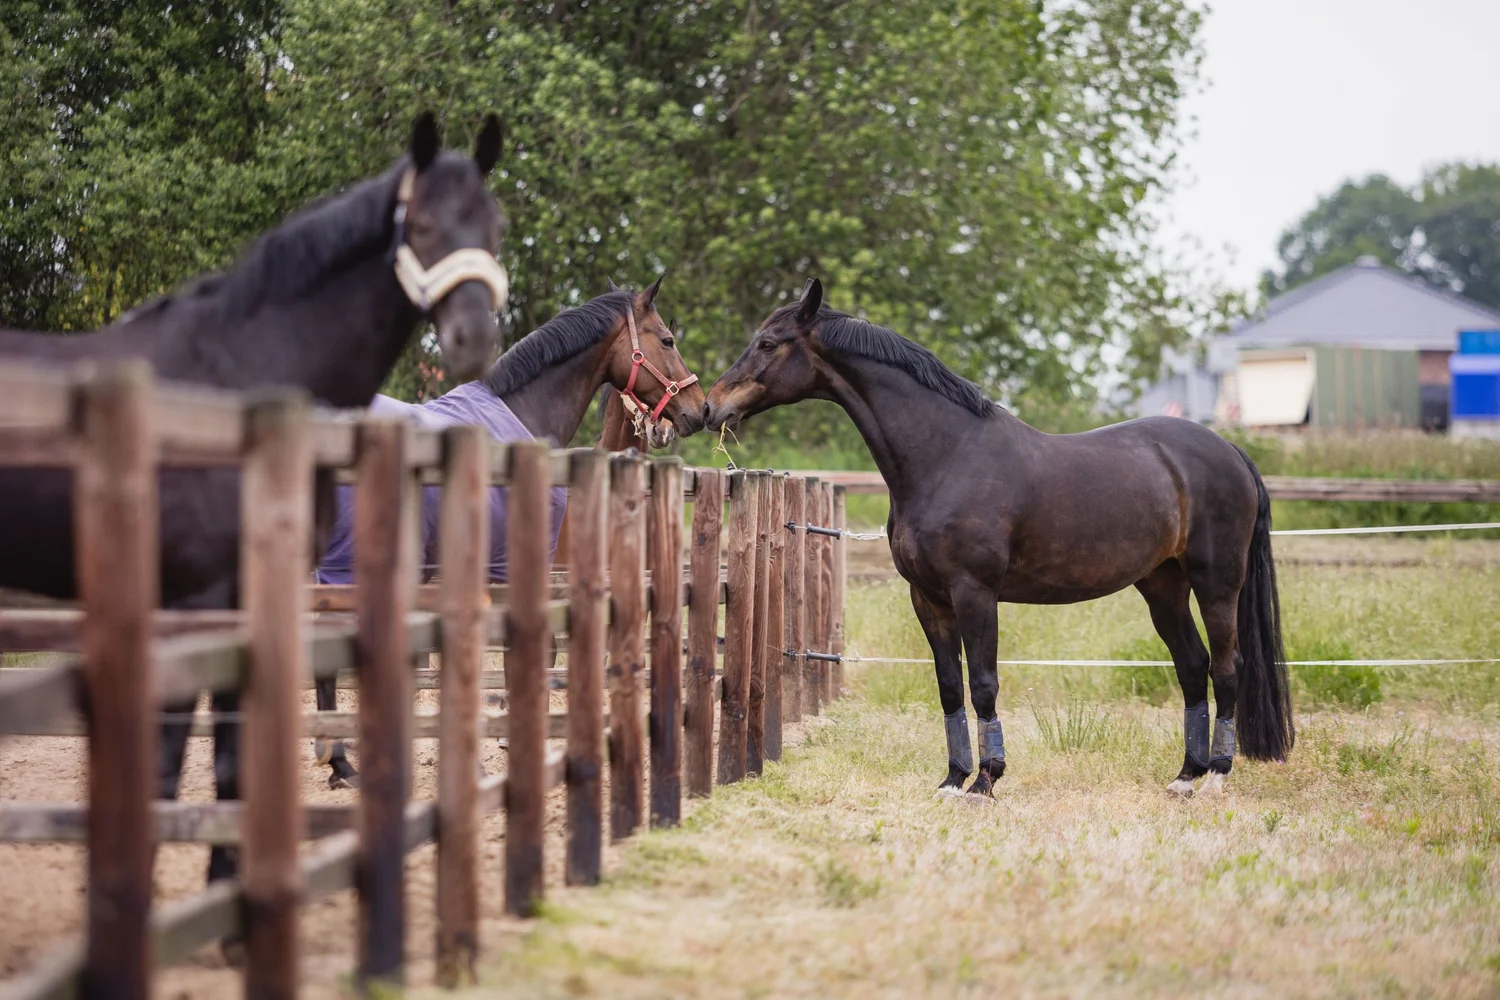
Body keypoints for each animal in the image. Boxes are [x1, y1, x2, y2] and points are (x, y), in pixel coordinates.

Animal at [0, 112, 511, 887]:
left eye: (495, 224)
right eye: (420, 224)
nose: (473, 336)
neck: (241, 375)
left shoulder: (250, 599)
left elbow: (234, 767)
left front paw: (228, 892)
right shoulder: (192, 606)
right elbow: (165, 768)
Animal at [704, 278, 1294, 799]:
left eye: (768, 343)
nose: (711, 407)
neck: (947, 455)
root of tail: (1229, 450)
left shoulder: (975, 593)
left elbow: (983, 683)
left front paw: (986, 781)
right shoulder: (929, 599)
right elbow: (949, 686)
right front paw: (952, 779)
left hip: (1217, 584)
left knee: (1227, 667)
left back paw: (1216, 775)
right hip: (1161, 585)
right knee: (1192, 666)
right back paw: (1186, 775)